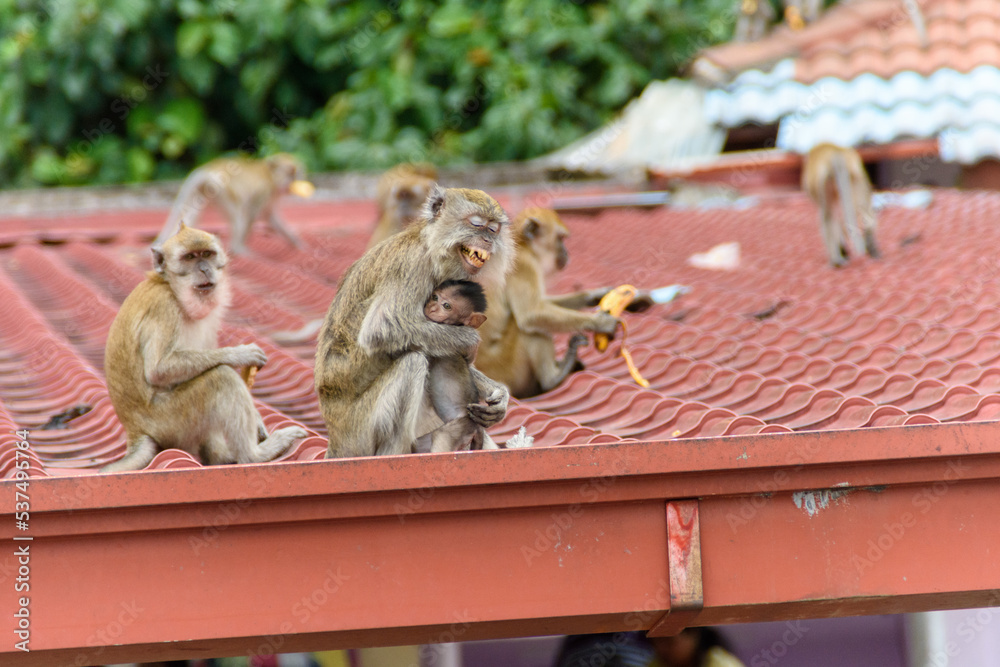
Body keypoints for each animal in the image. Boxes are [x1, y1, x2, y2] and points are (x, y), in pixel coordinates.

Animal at [102, 225, 308, 472]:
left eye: (207, 254)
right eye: (190, 257)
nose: (204, 269)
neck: (170, 287)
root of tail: (135, 431)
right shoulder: (164, 307)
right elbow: (158, 369)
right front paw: (240, 354)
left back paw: (222, 456)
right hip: (170, 421)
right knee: (221, 377)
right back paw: (255, 455)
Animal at [155, 153, 315, 254]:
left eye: (298, 171)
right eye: (290, 172)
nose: (296, 178)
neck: (270, 176)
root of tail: (207, 169)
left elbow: (270, 218)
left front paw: (297, 243)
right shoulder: (264, 192)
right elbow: (252, 212)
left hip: (204, 191)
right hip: (221, 189)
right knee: (239, 212)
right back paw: (238, 248)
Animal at [315, 186, 513, 459]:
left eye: (493, 229)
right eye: (477, 224)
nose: (488, 240)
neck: (429, 244)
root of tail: (334, 441)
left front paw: (499, 395)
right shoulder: (412, 265)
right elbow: (382, 329)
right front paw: (469, 340)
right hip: (358, 433)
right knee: (413, 361)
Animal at [473, 207, 626, 399]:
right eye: (560, 238)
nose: (567, 253)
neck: (523, 245)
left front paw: (593, 296)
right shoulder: (523, 265)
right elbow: (531, 313)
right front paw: (601, 322)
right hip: (506, 369)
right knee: (527, 326)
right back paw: (552, 378)